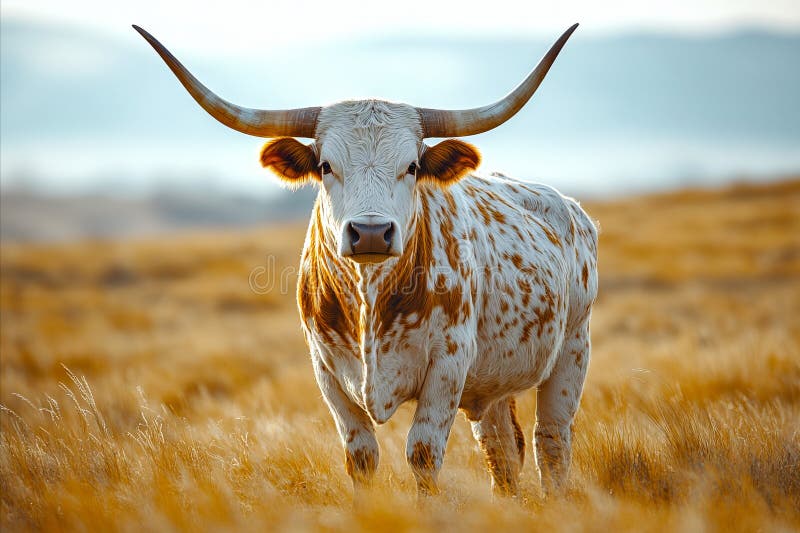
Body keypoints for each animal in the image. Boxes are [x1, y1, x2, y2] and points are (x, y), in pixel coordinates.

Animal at [135, 23, 597, 498]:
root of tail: (569, 207)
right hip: (493, 382)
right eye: (325, 166)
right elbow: (361, 456)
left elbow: (423, 453)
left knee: (551, 442)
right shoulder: (326, 370)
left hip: (572, 350)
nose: (371, 232)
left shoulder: (448, 365)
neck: (370, 297)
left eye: (412, 166)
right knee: (502, 450)